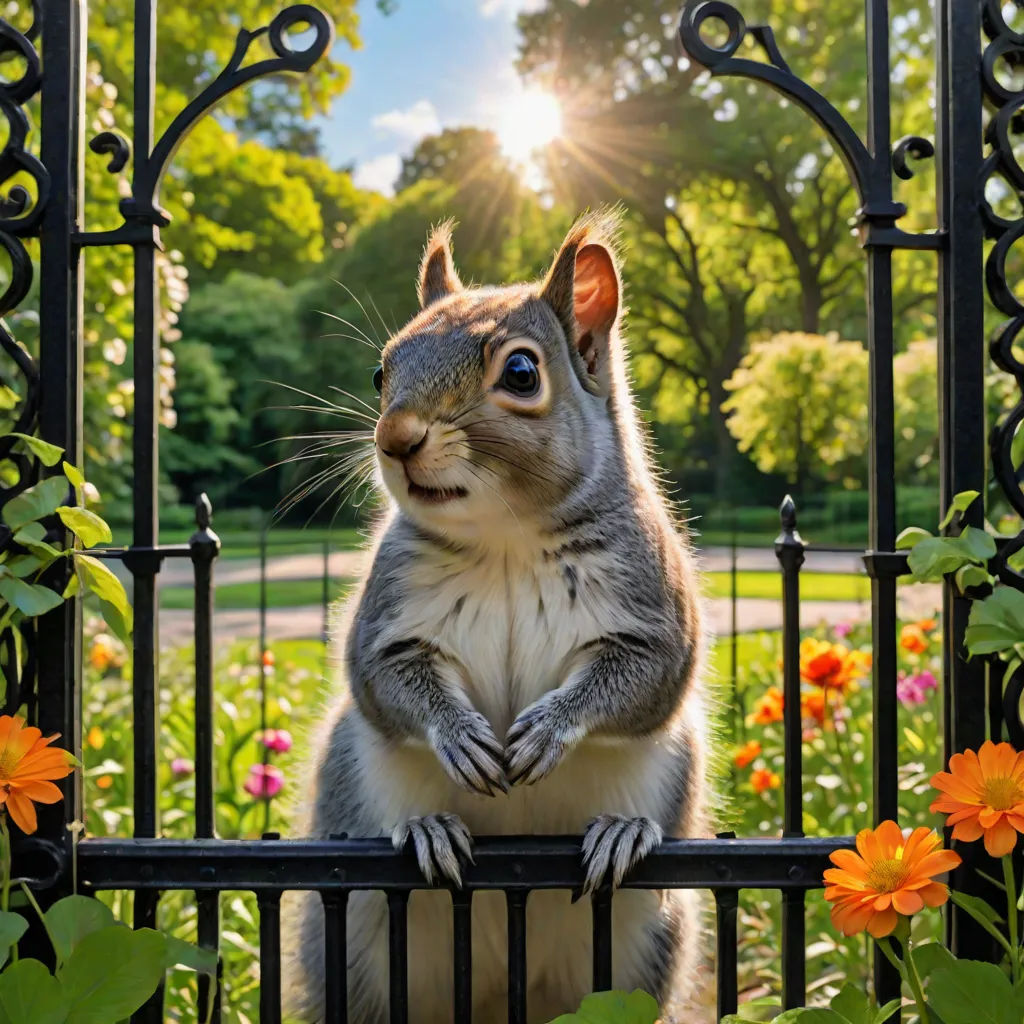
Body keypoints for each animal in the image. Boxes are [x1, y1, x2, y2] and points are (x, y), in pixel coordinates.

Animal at [284, 211, 710, 1023]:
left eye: (520, 374)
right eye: (382, 371)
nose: (395, 439)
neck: (507, 538)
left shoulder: (656, 616)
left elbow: (640, 682)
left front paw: (548, 729)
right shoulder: (387, 621)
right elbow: (385, 681)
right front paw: (459, 737)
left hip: (641, 950)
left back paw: (622, 831)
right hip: (355, 953)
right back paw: (427, 830)